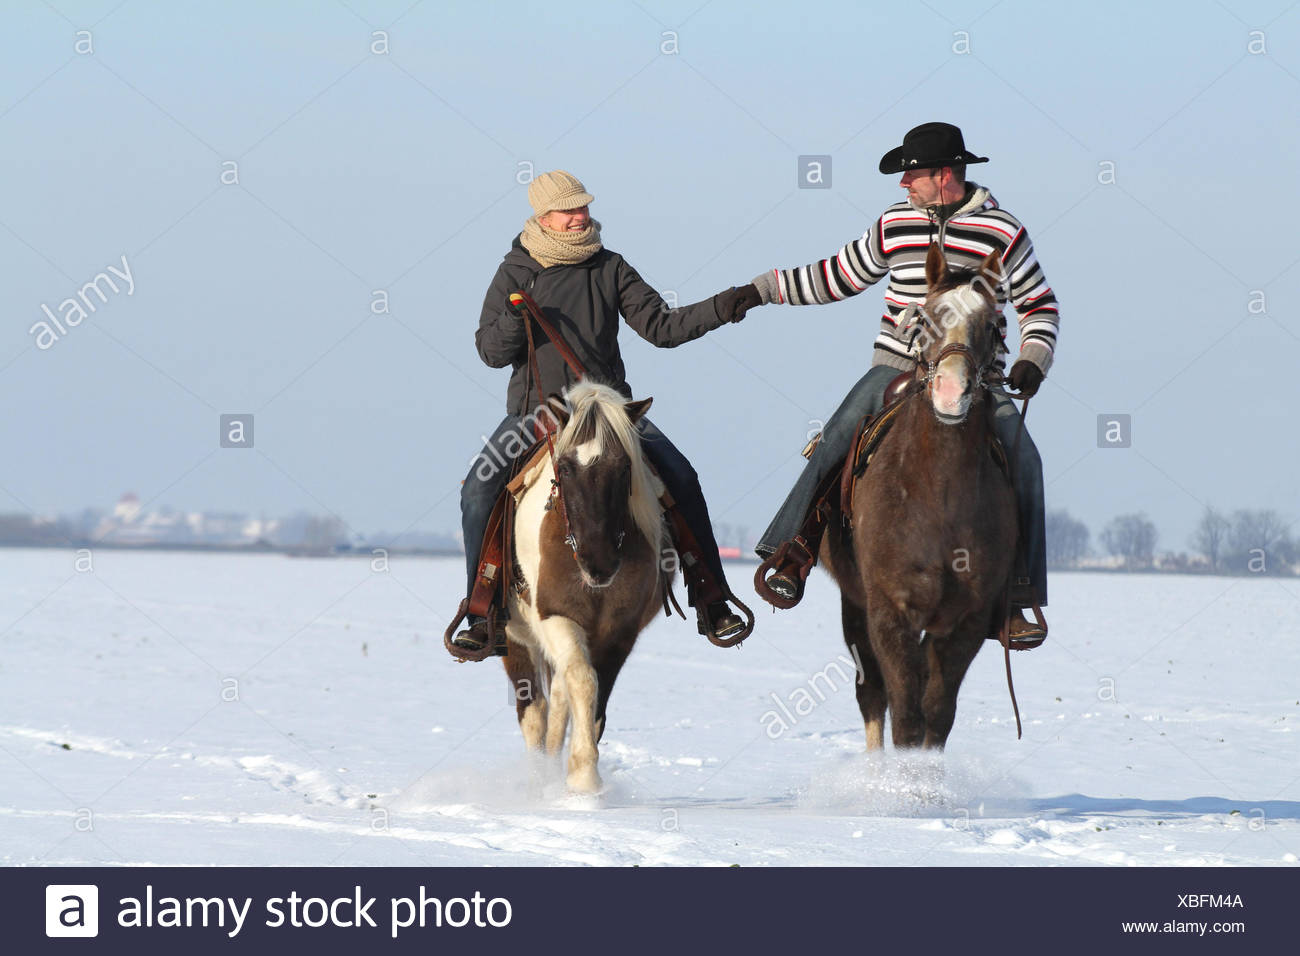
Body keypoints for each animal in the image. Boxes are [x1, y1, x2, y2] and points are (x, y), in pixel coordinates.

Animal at [502, 379, 667, 793]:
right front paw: (584, 778)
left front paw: (580, 775)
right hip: (516, 636)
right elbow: (581, 679)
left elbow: (596, 703)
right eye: (563, 467)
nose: (599, 561)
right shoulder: (554, 616)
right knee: (535, 710)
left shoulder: (620, 632)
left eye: (624, 467)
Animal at [820, 243, 1018, 751]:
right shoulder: (891, 613)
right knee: (871, 695)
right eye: (926, 318)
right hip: (854, 605)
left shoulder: (966, 621)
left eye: (993, 325)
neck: (938, 495)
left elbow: (937, 715)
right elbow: (905, 716)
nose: (951, 393)